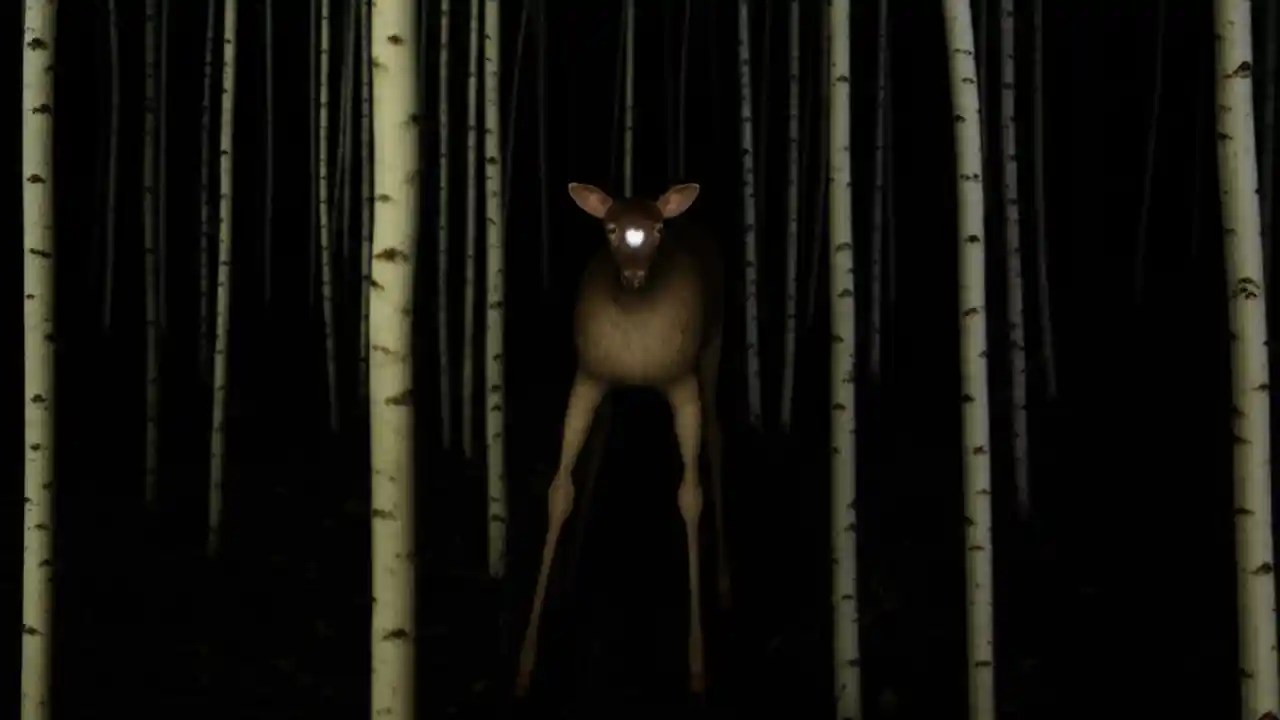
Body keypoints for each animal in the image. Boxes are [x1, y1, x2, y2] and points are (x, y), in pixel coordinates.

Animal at [514, 182, 729, 697]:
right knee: (600, 443)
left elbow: (689, 497)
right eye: (610, 228)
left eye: (658, 228)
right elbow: (559, 490)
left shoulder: (680, 381)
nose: (633, 275)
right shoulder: (589, 375)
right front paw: (525, 664)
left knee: (715, 434)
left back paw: (724, 581)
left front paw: (697, 664)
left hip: (712, 347)